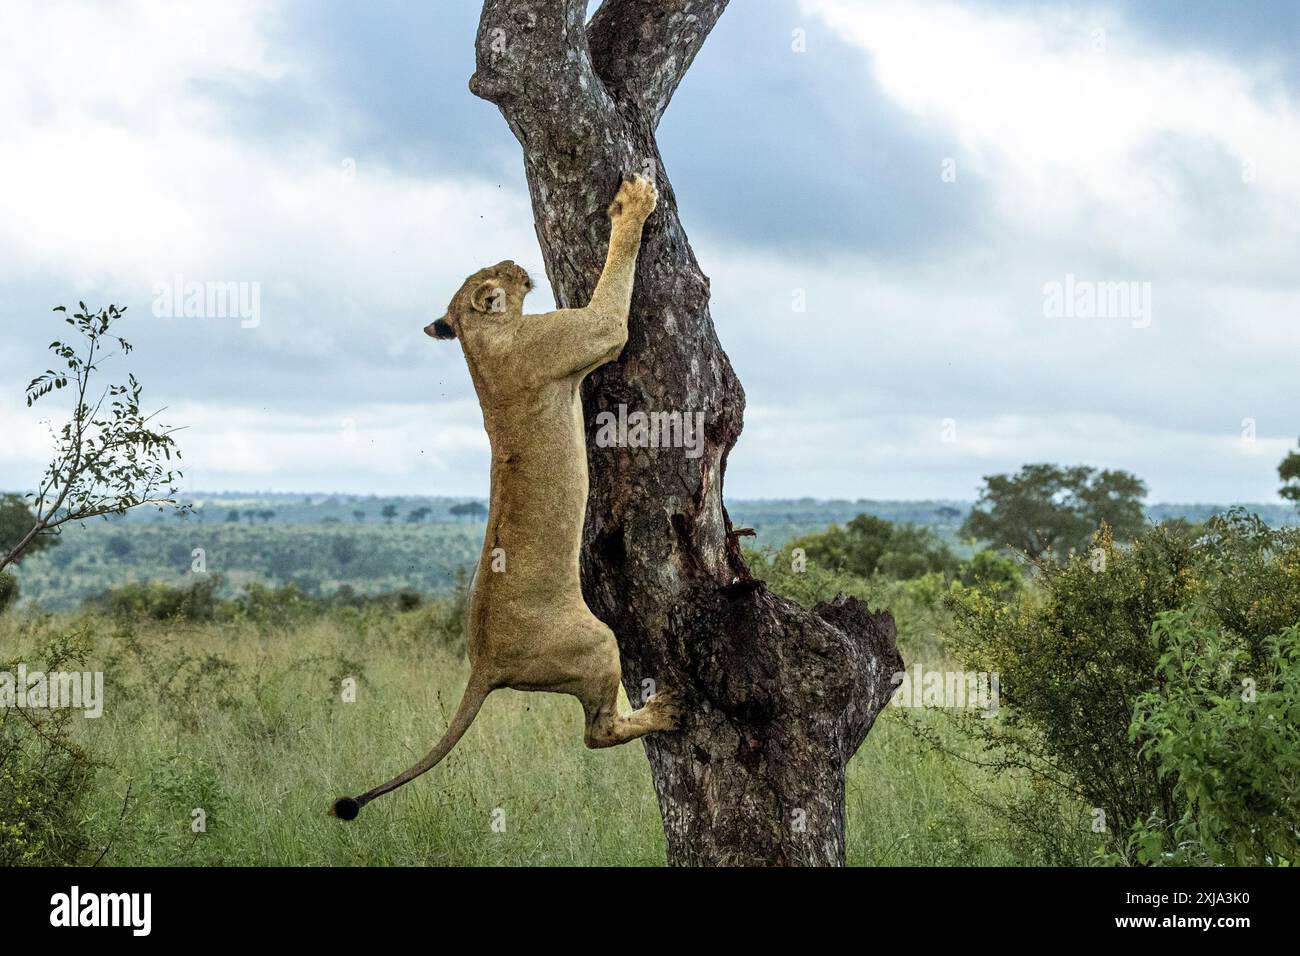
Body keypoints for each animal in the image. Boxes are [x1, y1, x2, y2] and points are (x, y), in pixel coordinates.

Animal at [332, 174, 680, 821]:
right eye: (497, 271)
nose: (517, 259)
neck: (480, 344)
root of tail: (485, 666)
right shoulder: (590, 331)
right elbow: (614, 288)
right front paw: (632, 204)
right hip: (595, 642)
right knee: (596, 732)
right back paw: (663, 711)